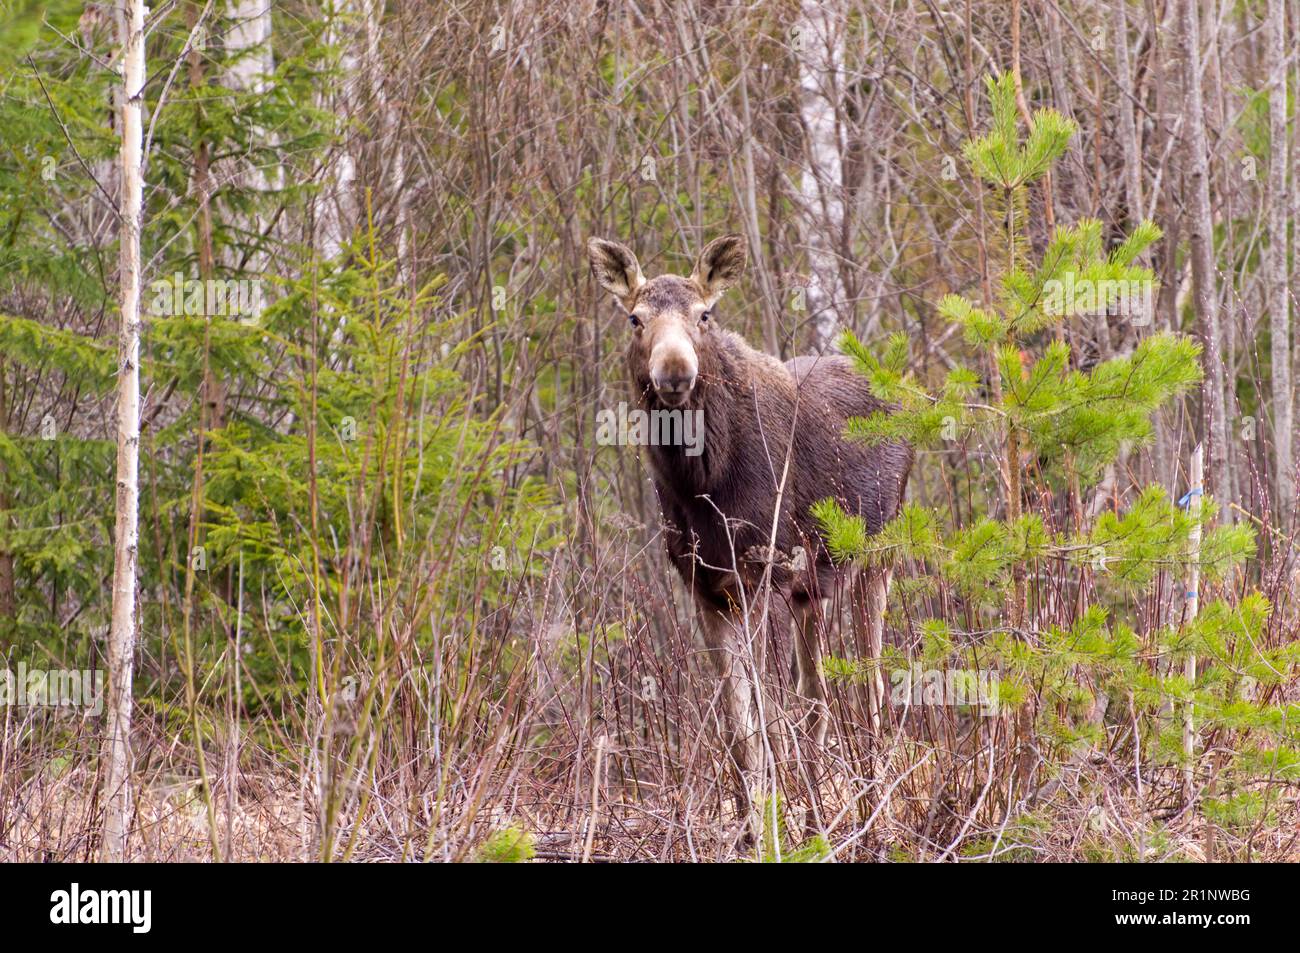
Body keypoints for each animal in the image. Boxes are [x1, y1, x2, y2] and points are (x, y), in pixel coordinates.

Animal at [587, 234, 913, 811]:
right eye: (634, 318)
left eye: (704, 314)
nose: (675, 371)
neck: (701, 483)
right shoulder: (706, 586)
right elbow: (739, 731)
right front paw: (750, 818)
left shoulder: (756, 577)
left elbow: (762, 722)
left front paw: (770, 818)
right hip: (811, 586)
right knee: (817, 696)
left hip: (878, 558)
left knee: (871, 687)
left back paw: (871, 801)